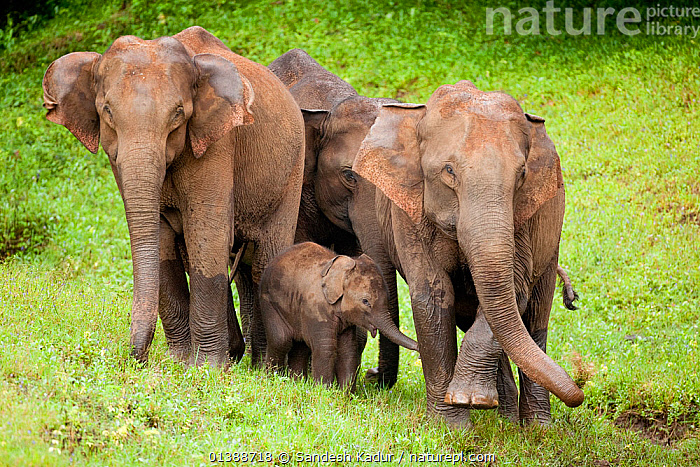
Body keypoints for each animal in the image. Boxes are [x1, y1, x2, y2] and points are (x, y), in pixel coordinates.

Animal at [42, 26, 304, 367]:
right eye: (107, 112)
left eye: (179, 114)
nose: (134, 358)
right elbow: (162, 240)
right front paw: (178, 363)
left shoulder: (217, 142)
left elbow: (206, 234)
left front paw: (208, 369)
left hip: (292, 172)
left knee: (265, 261)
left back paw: (264, 368)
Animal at [260, 242, 418, 390]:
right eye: (365, 301)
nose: (418, 347)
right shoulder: (315, 309)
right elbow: (326, 348)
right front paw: (324, 391)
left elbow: (348, 350)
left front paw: (345, 395)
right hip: (269, 302)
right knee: (281, 340)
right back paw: (272, 380)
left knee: (301, 347)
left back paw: (296, 383)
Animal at [351, 81, 584, 427]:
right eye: (449, 171)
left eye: (522, 175)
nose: (580, 390)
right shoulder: (408, 212)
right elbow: (433, 295)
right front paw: (452, 424)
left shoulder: (524, 220)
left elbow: (514, 292)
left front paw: (469, 399)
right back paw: (505, 419)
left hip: (550, 243)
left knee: (535, 319)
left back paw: (535, 428)